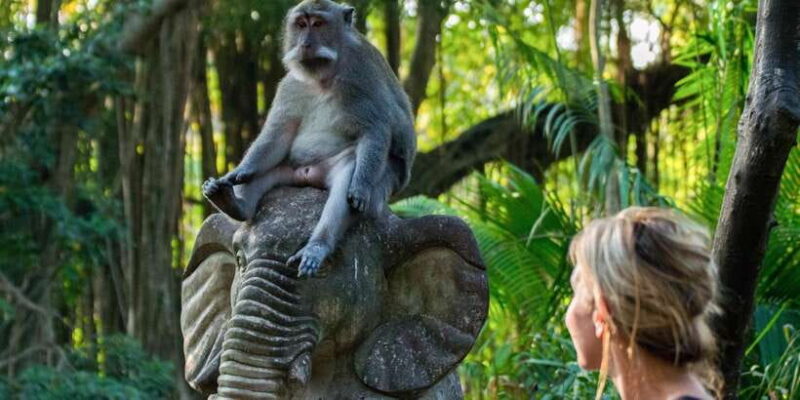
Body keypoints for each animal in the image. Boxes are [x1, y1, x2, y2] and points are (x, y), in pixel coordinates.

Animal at [202, 0, 416, 277]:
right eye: (301, 24)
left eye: (318, 24)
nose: (305, 44)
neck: (322, 76)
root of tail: (310, 176)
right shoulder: (290, 85)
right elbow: (278, 135)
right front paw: (239, 172)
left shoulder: (361, 75)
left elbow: (375, 130)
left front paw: (360, 186)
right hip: (289, 172)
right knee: (266, 171)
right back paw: (234, 203)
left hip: (381, 178)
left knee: (348, 176)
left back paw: (317, 246)